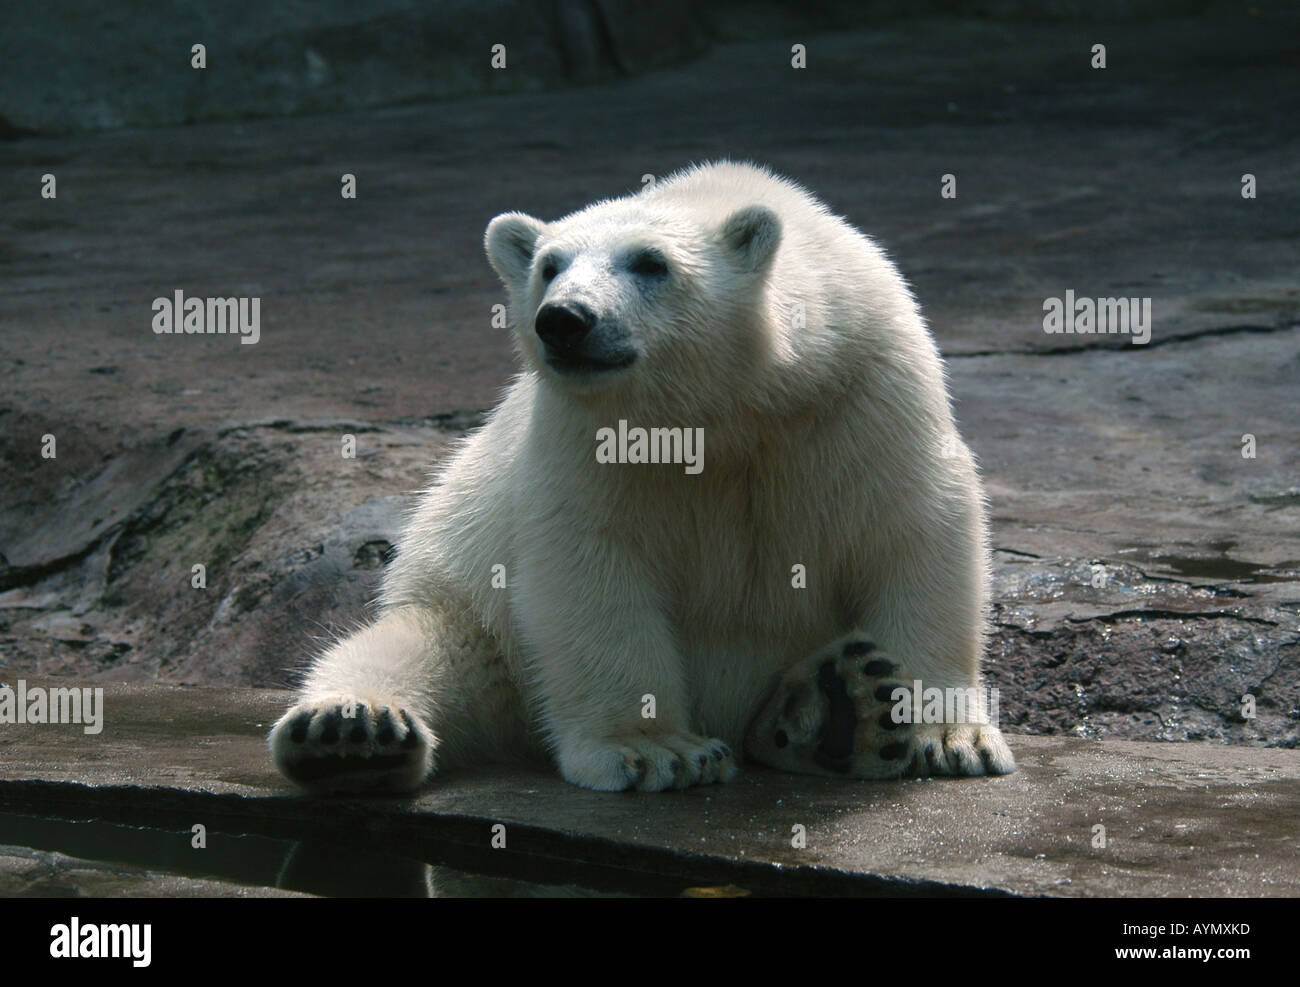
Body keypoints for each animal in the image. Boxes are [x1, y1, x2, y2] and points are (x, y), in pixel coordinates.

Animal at [269, 161, 1015, 793]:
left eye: (651, 262)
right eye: (549, 265)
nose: (564, 320)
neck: (730, 405)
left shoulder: (858, 394)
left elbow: (915, 534)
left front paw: (947, 736)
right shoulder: (588, 438)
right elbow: (592, 569)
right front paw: (658, 750)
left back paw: (838, 708)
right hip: (473, 618)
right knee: (407, 653)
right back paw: (351, 732)